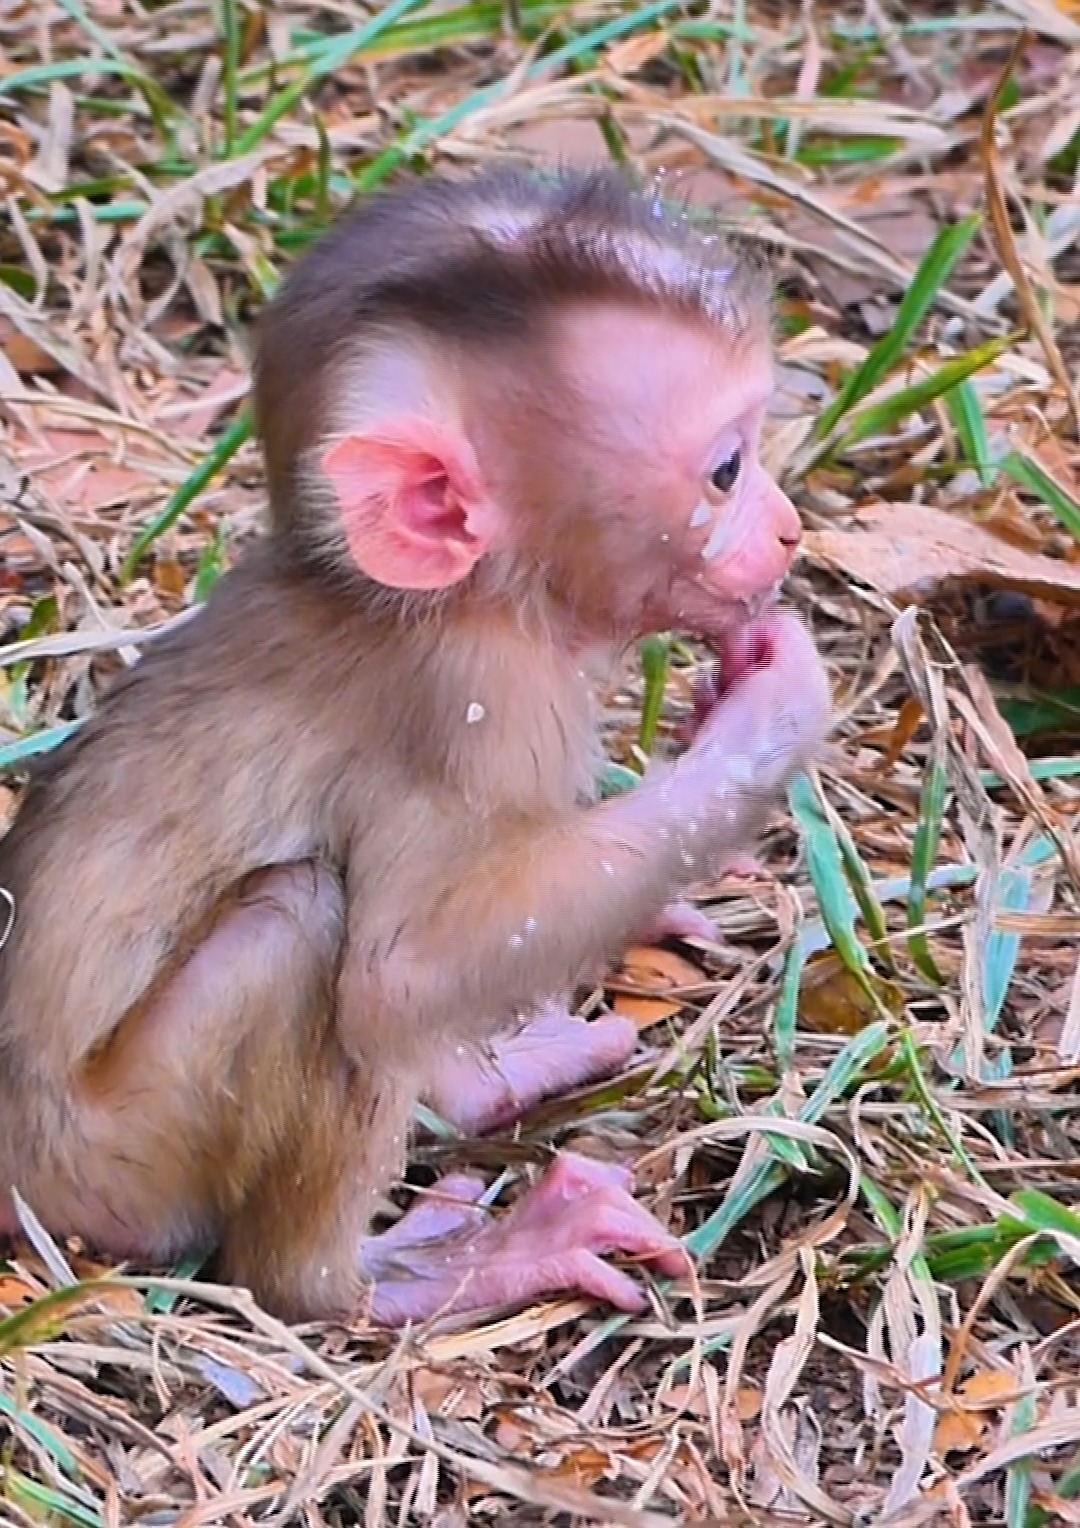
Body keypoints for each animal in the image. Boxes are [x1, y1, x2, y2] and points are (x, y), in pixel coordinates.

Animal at [0, 165, 831, 1328]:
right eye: (724, 471)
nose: (789, 527)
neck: (460, 600)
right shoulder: (483, 706)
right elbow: (401, 971)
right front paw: (770, 718)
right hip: (111, 1164)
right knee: (307, 927)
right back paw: (394, 1277)